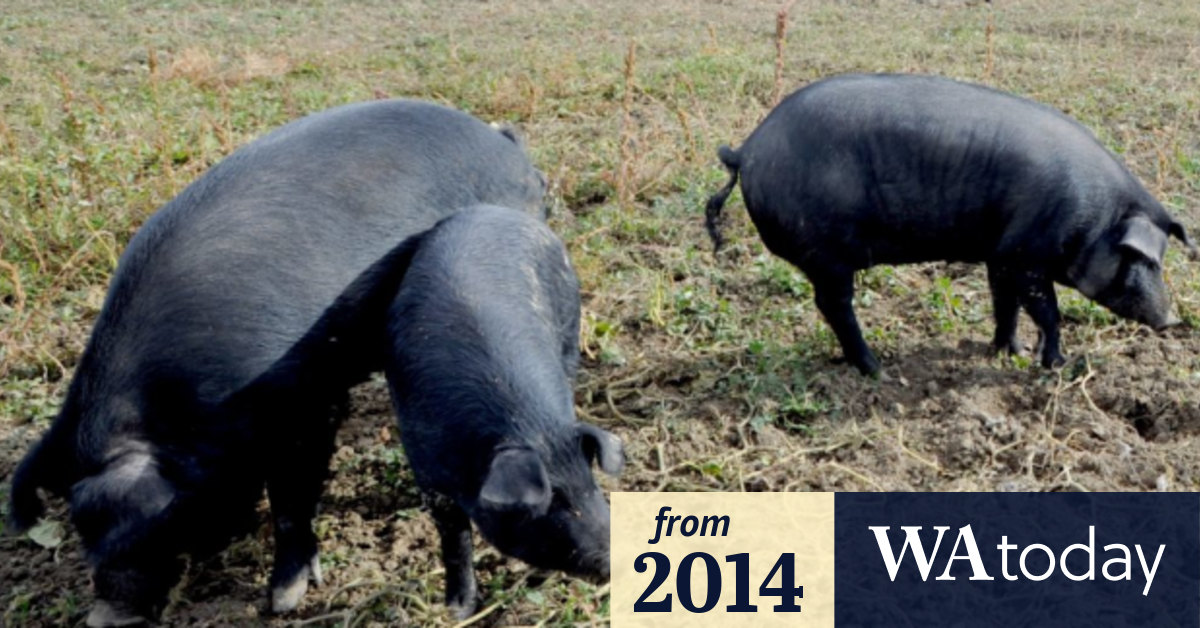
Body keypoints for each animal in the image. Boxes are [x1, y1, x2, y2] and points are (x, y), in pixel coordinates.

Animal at [7, 100, 546, 626]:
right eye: (81, 529)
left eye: (156, 523)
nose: (106, 619)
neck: (183, 410)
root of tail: (502, 144)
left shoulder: (303, 402)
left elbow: (290, 496)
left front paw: (284, 600)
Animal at [383, 205, 623, 619]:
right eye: (552, 500)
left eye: (591, 484)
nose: (614, 560)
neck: (530, 428)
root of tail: (495, 210)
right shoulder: (427, 470)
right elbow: (455, 541)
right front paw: (458, 612)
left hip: (570, 326)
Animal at [706, 73, 1193, 376]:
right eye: (1140, 259)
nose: (1172, 320)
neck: (1093, 219)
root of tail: (746, 150)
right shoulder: (1028, 258)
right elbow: (1048, 313)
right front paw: (1058, 365)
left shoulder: (1002, 255)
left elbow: (1005, 304)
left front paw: (1008, 352)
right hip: (826, 254)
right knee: (835, 306)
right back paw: (879, 371)